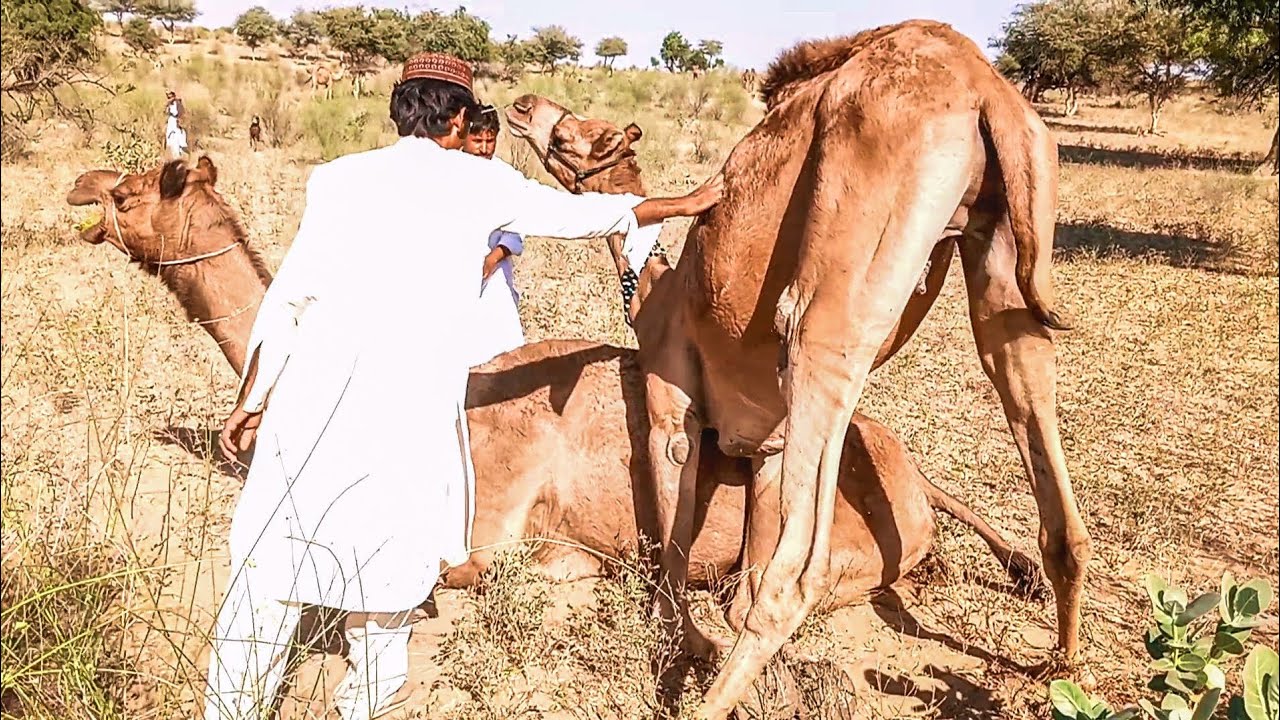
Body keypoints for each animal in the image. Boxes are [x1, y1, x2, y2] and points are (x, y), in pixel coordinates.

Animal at [506, 19, 1086, 717]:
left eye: (569, 135)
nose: (521, 105)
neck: (651, 294)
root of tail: (983, 87)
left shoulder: (672, 406)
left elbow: (677, 557)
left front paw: (688, 647)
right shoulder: (767, 445)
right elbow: (741, 578)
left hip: (829, 307)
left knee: (792, 581)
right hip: (1003, 249)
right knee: (1055, 498)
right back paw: (1055, 664)